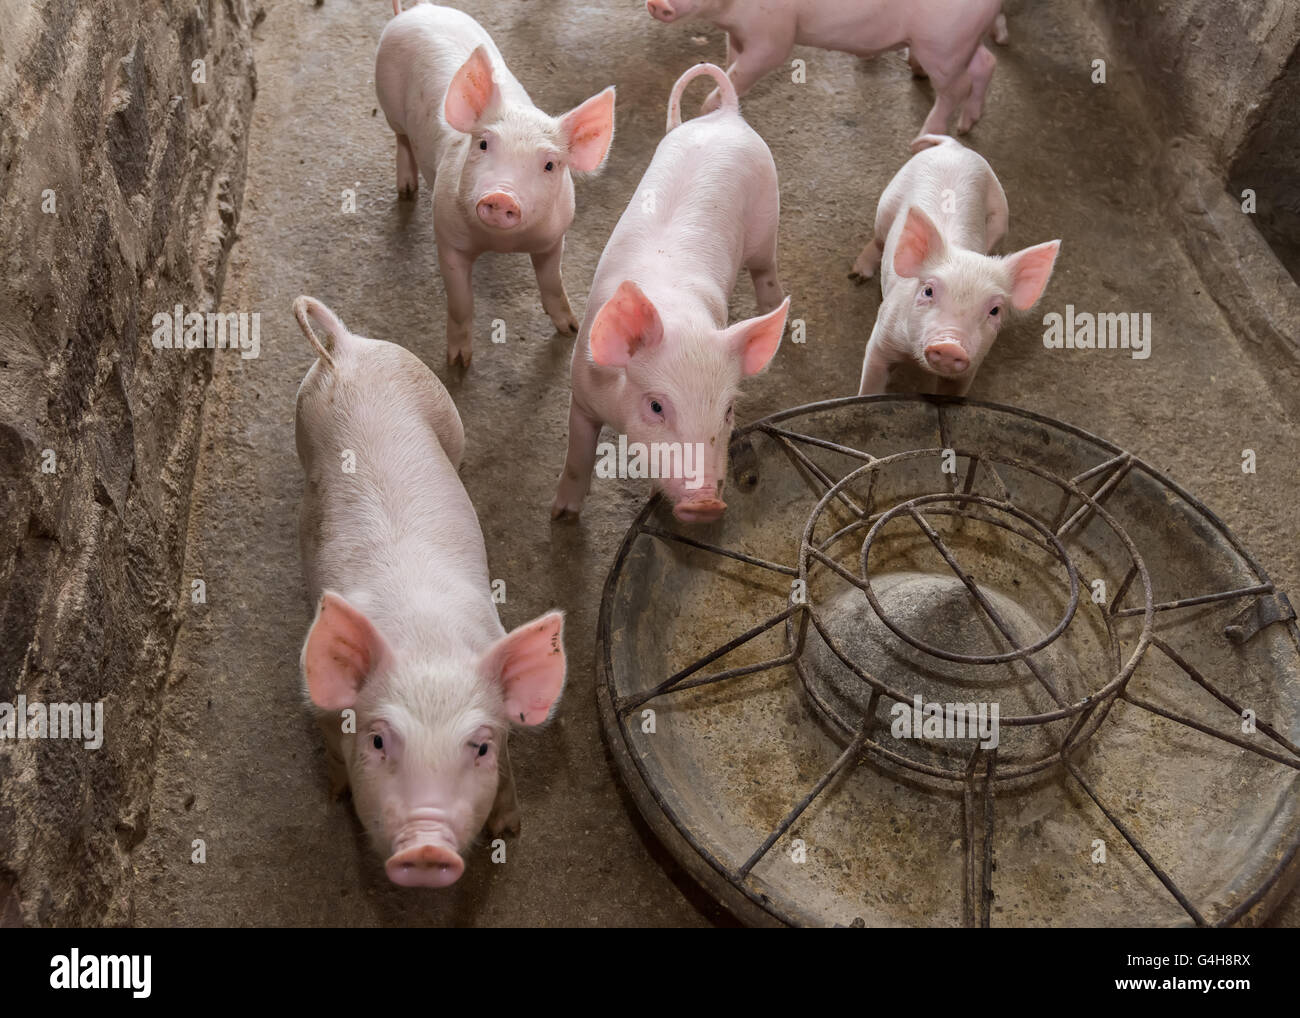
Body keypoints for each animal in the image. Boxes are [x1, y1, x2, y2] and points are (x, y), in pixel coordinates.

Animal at [293, 295, 567, 888]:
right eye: (378, 741)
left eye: (479, 747)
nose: (425, 848)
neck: (425, 643)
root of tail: (346, 348)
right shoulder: (321, 708)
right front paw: (338, 795)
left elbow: (509, 771)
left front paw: (510, 831)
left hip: (439, 405)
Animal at [376, 2, 616, 368]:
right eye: (483, 144)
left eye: (550, 165)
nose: (503, 196)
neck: (502, 243)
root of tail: (417, 10)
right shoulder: (447, 236)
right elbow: (461, 302)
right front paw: (458, 363)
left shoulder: (553, 236)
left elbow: (552, 282)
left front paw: (570, 329)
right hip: (387, 98)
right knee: (401, 138)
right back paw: (406, 190)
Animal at [551, 63, 789, 524]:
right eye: (657, 406)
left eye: (728, 410)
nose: (707, 503)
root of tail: (726, 115)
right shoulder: (582, 391)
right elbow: (577, 454)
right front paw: (560, 515)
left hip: (767, 215)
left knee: (766, 270)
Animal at [645, 0, 1005, 143]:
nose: (656, 2)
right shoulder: (737, 33)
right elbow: (730, 65)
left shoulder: (774, 36)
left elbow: (743, 71)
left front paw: (706, 112)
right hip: (958, 42)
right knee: (986, 62)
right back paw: (966, 127)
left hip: (942, 44)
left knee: (955, 88)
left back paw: (922, 139)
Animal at [849, 134, 1060, 396]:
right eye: (928, 291)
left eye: (995, 310)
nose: (951, 346)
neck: (915, 360)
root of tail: (954, 146)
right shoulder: (882, 335)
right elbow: (871, 383)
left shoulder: (973, 365)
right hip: (888, 202)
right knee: (879, 239)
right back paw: (858, 275)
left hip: (1000, 215)